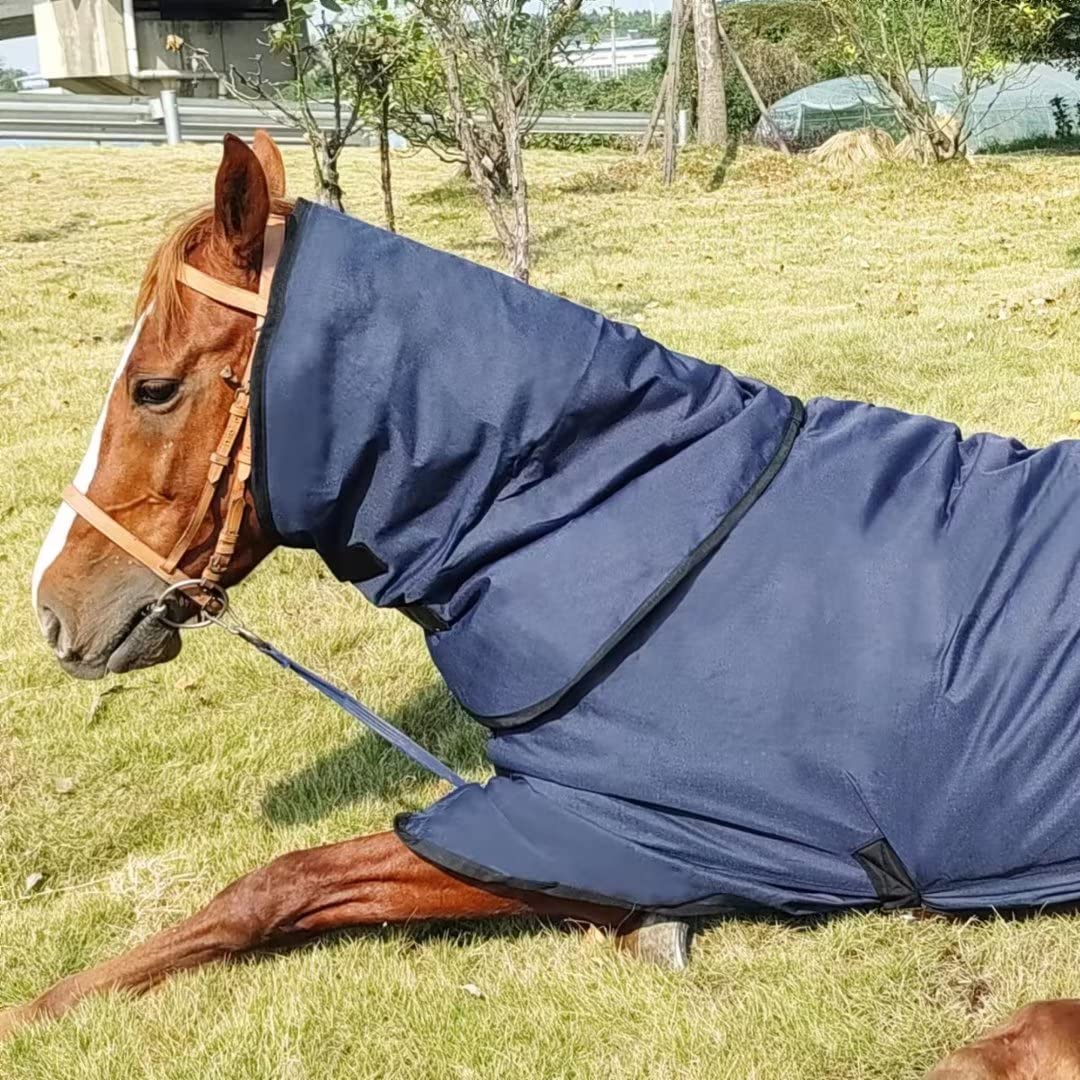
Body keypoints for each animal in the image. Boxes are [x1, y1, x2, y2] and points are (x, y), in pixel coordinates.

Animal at [7, 131, 1080, 1077]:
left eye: (153, 389)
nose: (54, 610)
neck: (594, 510)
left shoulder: (600, 831)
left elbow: (275, 883)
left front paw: (41, 1007)